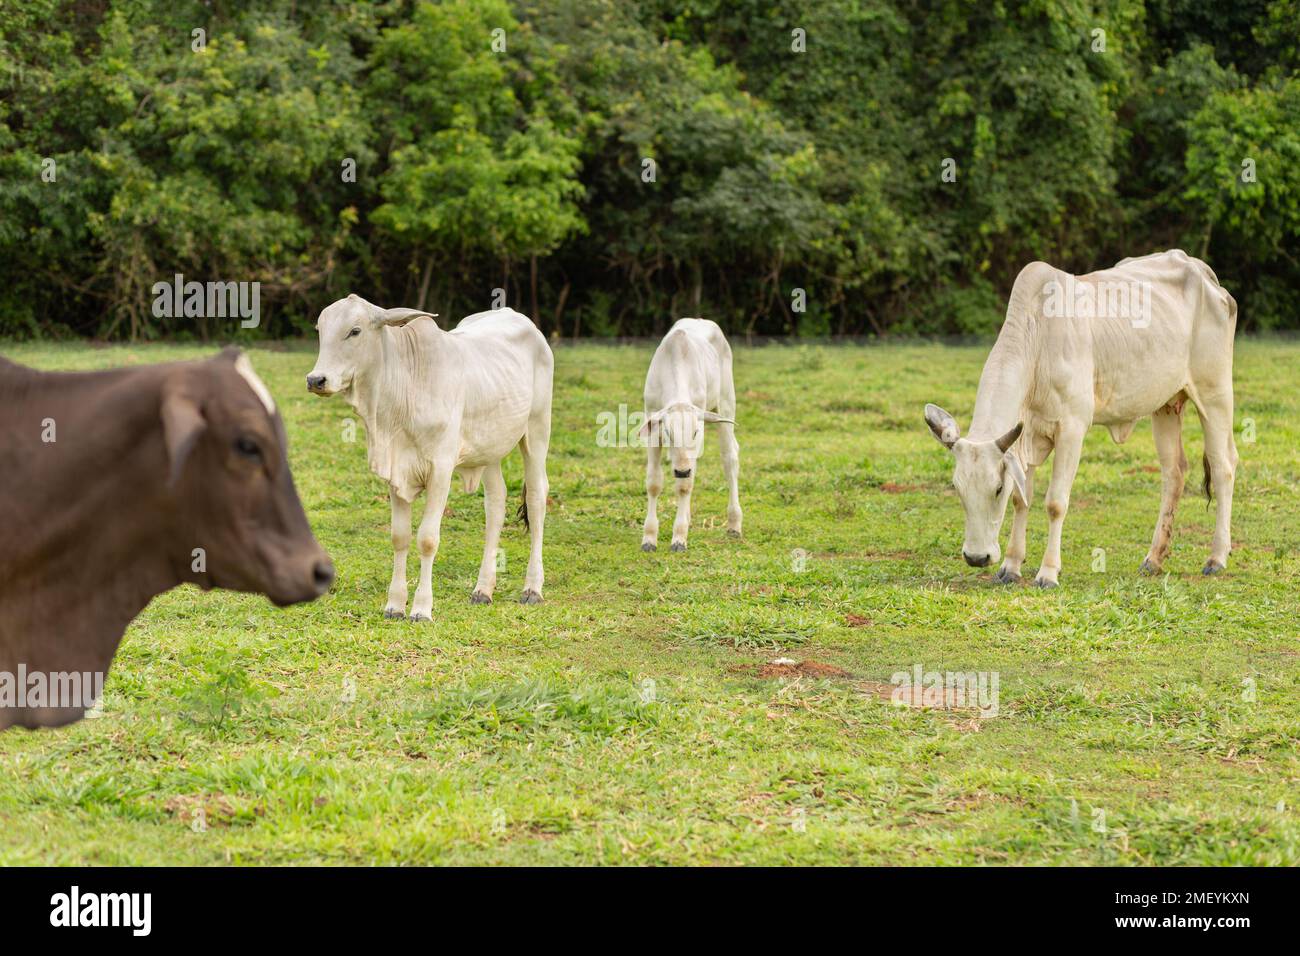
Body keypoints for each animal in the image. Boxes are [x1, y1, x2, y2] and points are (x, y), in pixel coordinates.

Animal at [306, 296, 553, 615]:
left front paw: (422, 608)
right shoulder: (395, 471)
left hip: (537, 430)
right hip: (489, 449)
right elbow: (399, 537)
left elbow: (427, 539)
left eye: (355, 331)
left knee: (536, 498)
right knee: (496, 504)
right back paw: (483, 589)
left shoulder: (441, 470)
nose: (316, 380)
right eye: (320, 330)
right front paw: (395, 605)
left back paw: (532, 588)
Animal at [639, 318, 741, 552]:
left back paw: (734, 524)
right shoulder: (653, 426)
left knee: (729, 458)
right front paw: (649, 538)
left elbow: (685, 486)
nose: (682, 470)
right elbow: (654, 482)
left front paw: (679, 538)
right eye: (668, 432)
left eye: (695, 431)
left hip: (726, 402)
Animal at [924, 249, 1238, 587]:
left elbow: (1055, 503)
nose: (976, 557)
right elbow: (1022, 499)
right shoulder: (1026, 436)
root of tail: (1200, 270)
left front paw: (1048, 572)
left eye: (997, 488)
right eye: (957, 487)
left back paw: (1217, 557)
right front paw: (1011, 565)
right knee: (1174, 473)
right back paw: (1153, 559)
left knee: (1223, 467)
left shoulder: (1072, 429)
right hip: (1165, 405)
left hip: (1215, 393)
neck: (1037, 338)